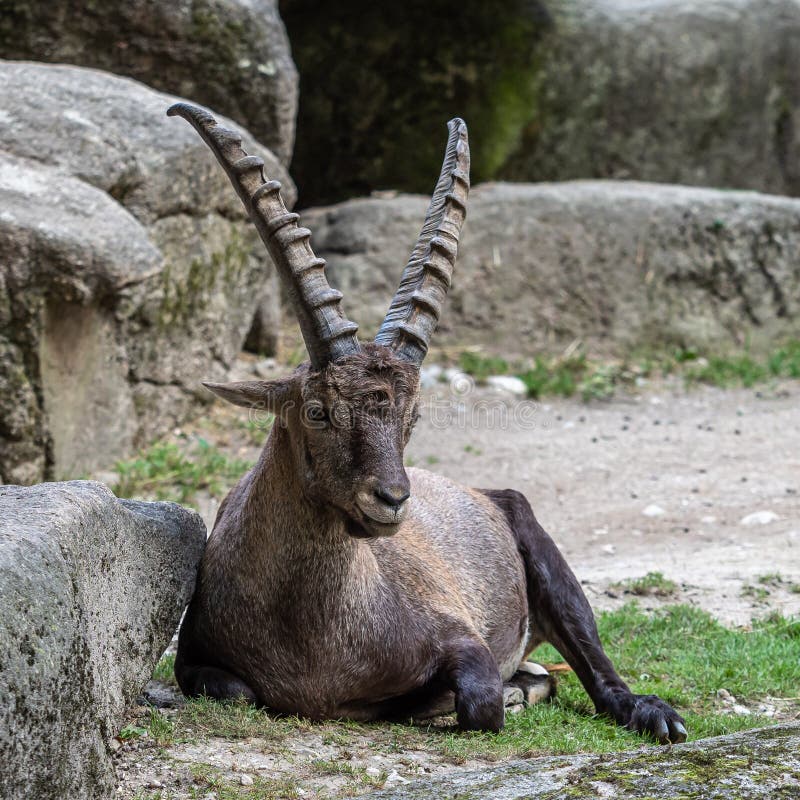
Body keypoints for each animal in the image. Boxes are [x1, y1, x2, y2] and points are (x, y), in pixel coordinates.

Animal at [167, 103, 687, 742]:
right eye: (317, 410)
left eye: (411, 415)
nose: (392, 499)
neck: (316, 635)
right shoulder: (196, 656)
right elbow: (237, 690)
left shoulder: (456, 632)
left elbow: (480, 700)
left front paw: (449, 699)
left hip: (543, 555)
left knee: (591, 663)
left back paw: (651, 712)